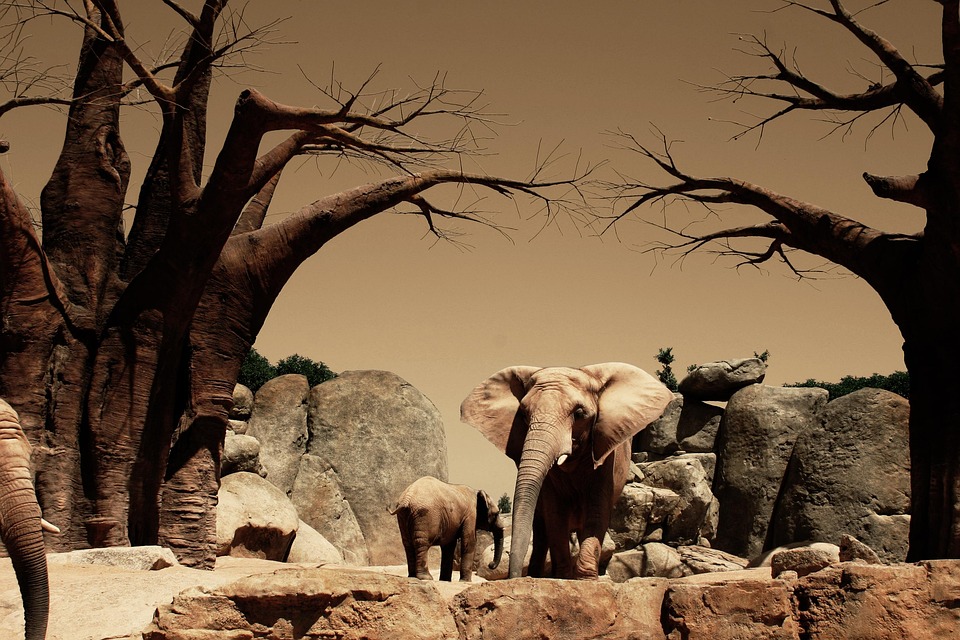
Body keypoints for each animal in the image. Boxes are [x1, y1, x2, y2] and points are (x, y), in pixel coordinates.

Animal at [460, 363, 671, 580]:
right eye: (524, 414)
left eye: (579, 414)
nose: (512, 575)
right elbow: (555, 514)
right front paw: (562, 577)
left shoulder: (606, 457)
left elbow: (597, 511)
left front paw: (587, 580)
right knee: (541, 529)